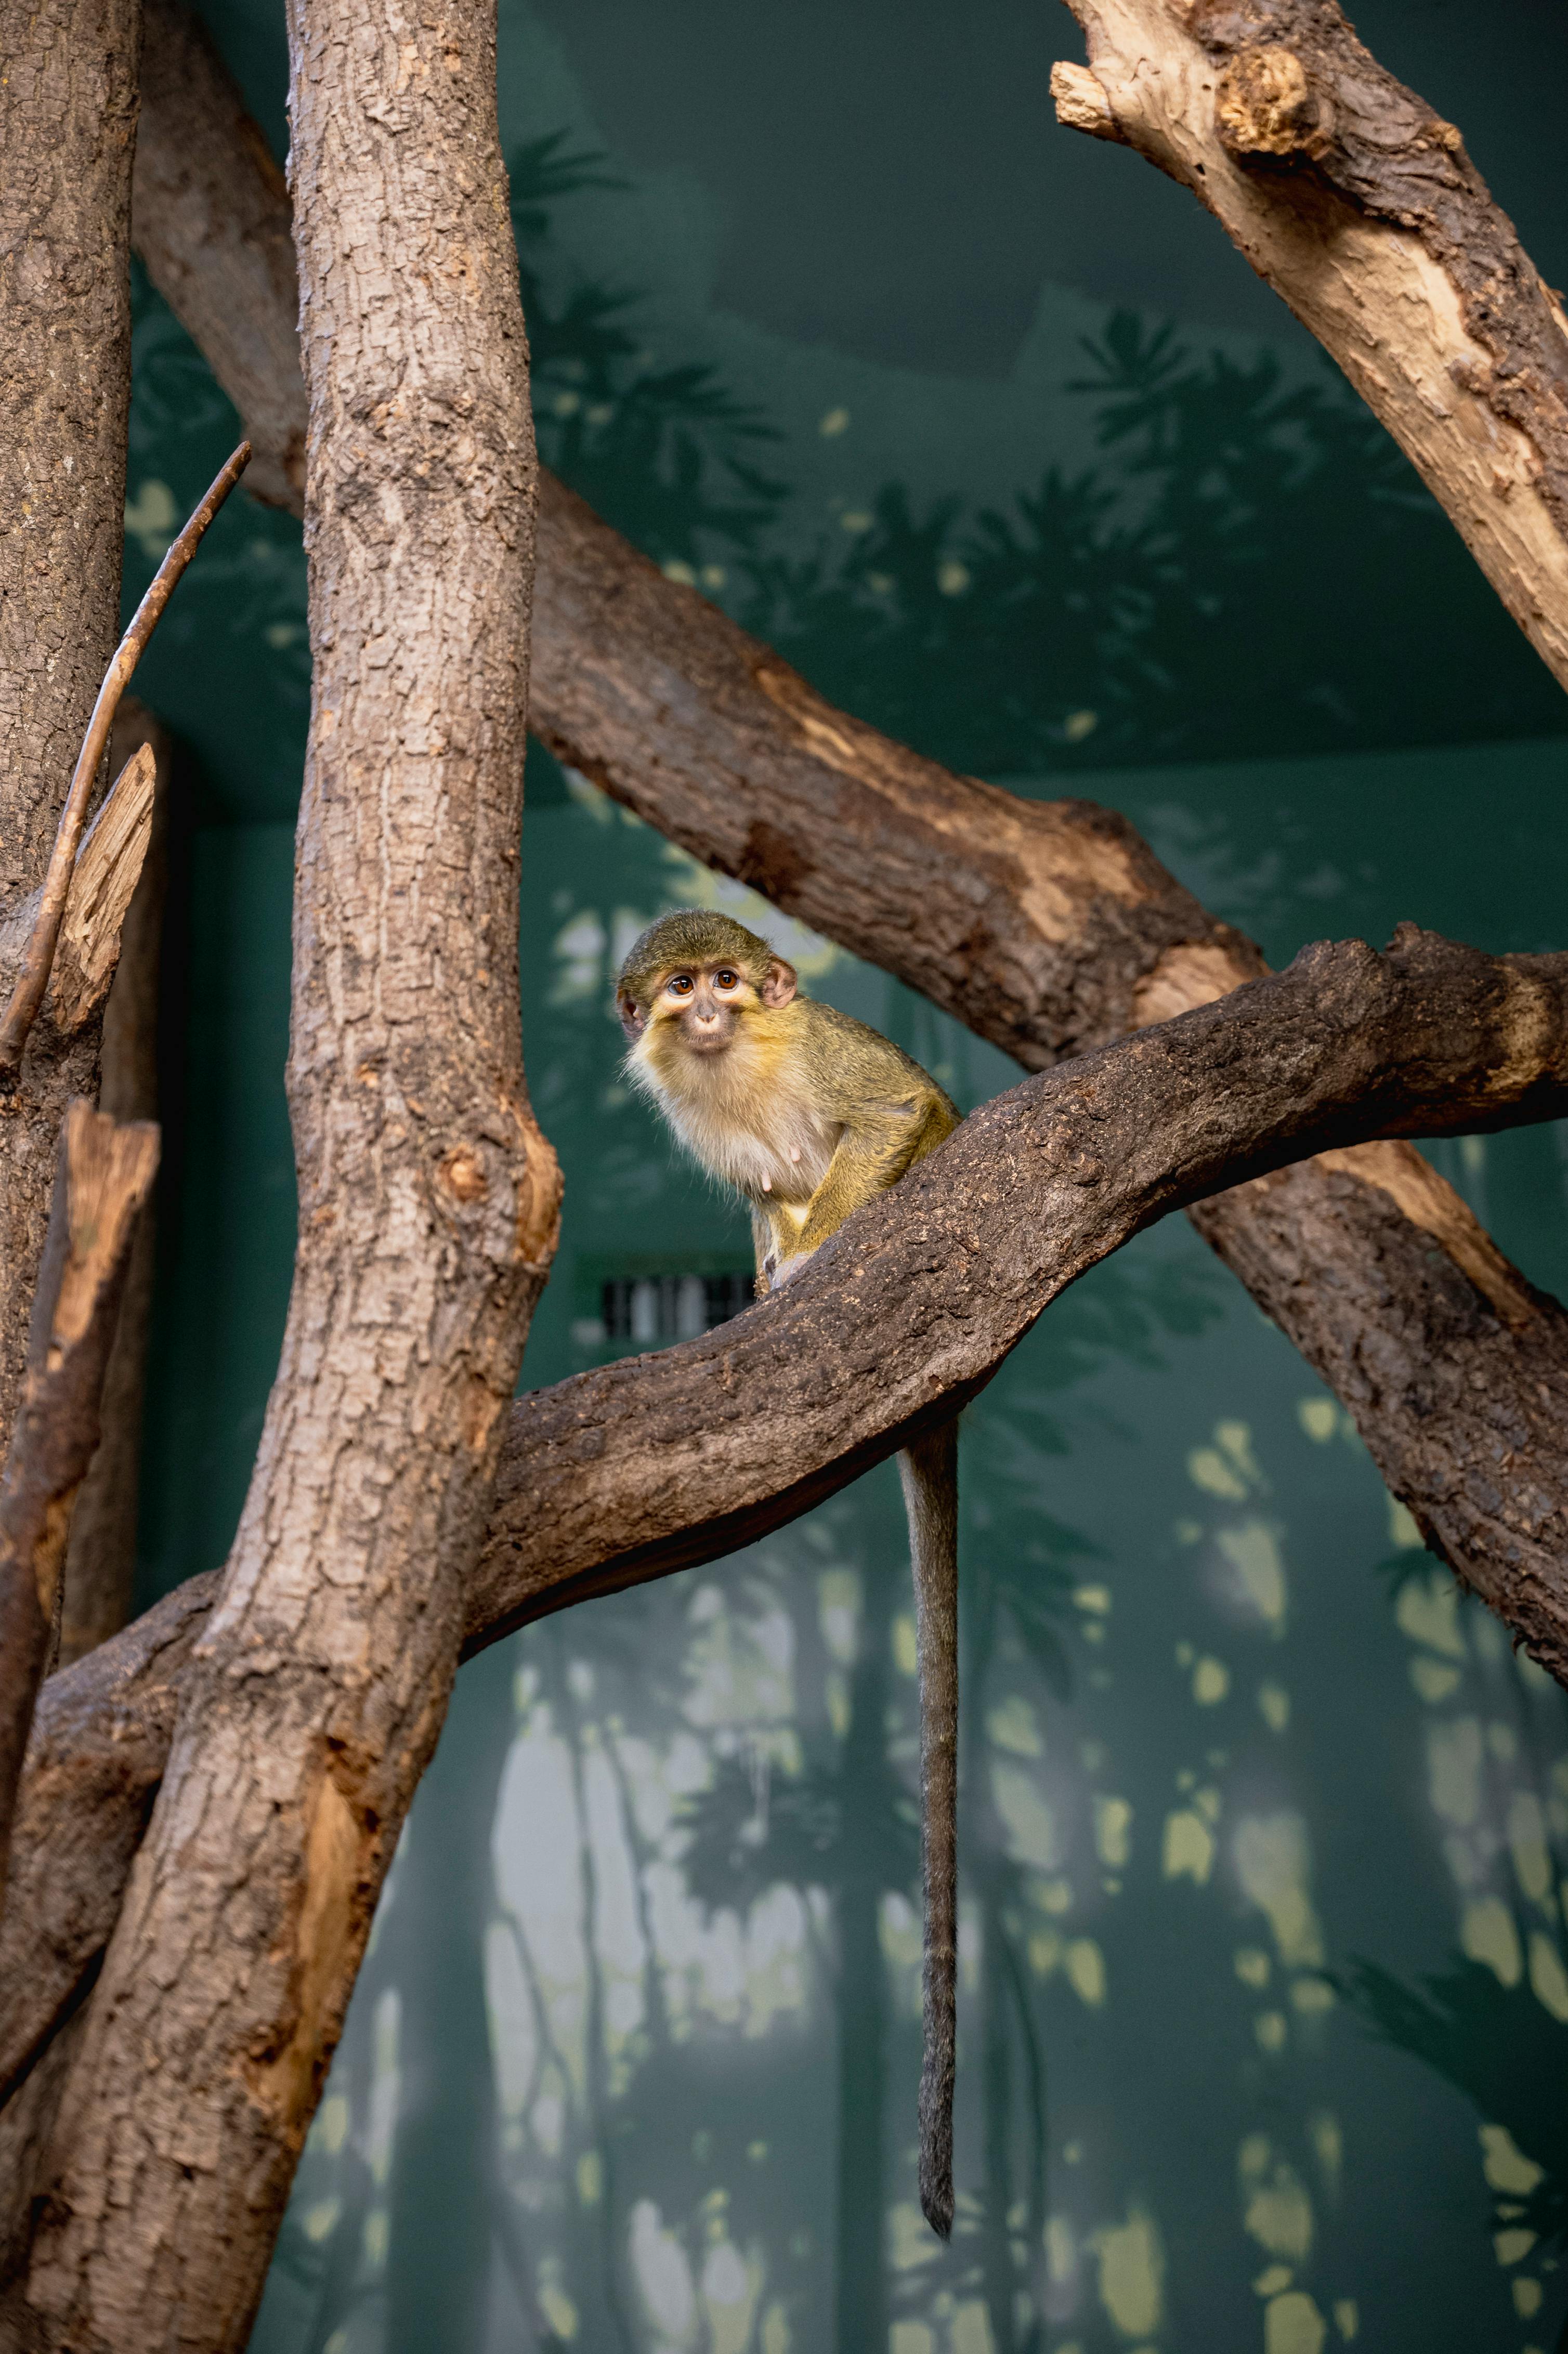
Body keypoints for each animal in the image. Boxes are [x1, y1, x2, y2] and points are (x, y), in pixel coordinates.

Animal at [616, 907, 962, 2238]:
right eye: (679, 990)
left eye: (727, 979)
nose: (712, 1006)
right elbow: (758, 1188)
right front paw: (772, 1269)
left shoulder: (819, 1050)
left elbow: (899, 1107)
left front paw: (816, 1264)